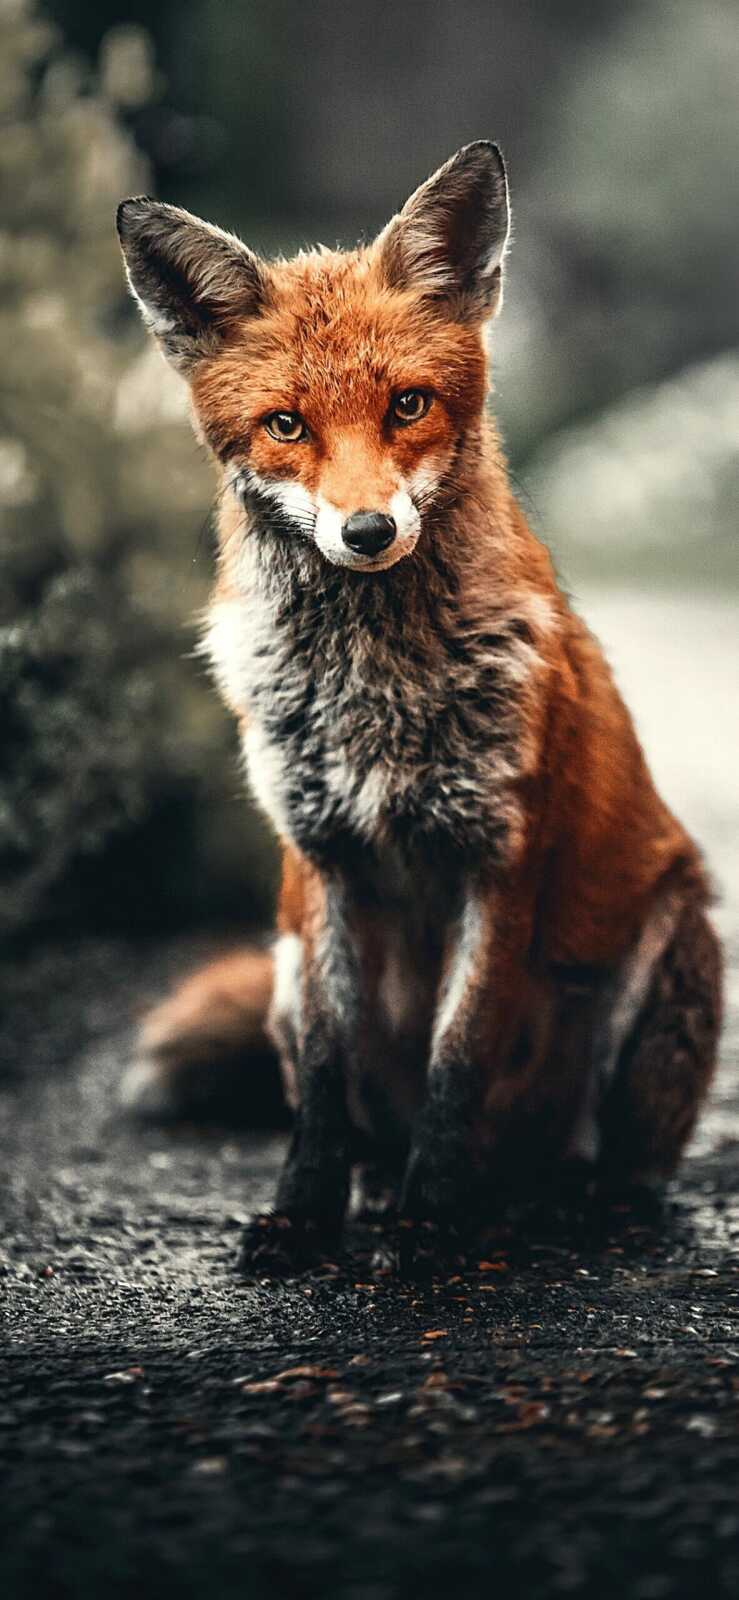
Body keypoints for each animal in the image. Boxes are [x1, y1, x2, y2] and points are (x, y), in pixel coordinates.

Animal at [117, 142, 722, 1273]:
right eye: (286, 425)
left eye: (406, 405)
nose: (365, 532)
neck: (374, 693)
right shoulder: (318, 863)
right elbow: (322, 1078)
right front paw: (304, 1215)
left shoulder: (499, 855)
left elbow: (458, 1058)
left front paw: (430, 1224)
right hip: (279, 963)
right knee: (362, 1115)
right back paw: (383, 1186)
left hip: (665, 948)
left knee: (614, 1161)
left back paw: (572, 1203)